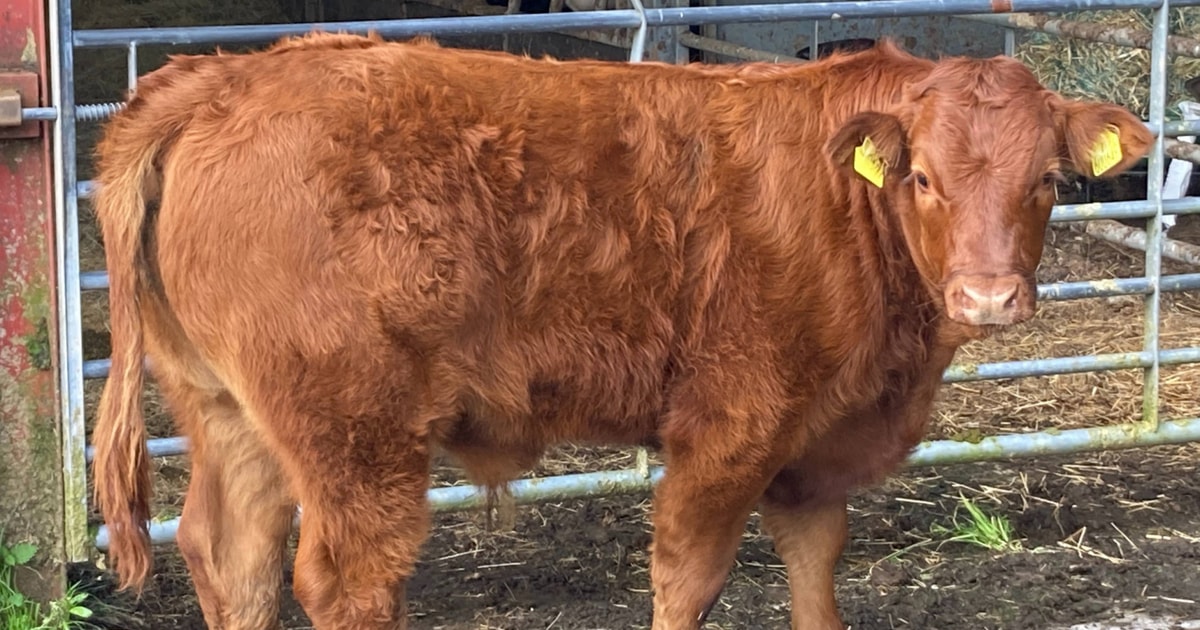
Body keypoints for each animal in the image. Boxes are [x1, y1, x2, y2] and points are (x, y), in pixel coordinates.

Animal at [90, 32, 1152, 630]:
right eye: (923, 178)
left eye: (1048, 180)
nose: (988, 298)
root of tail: (224, 76)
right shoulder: (733, 423)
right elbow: (688, 578)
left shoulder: (814, 446)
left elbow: (816, 572)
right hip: (356, 429)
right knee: (346, 581)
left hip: (229, 411)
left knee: (230, 554)